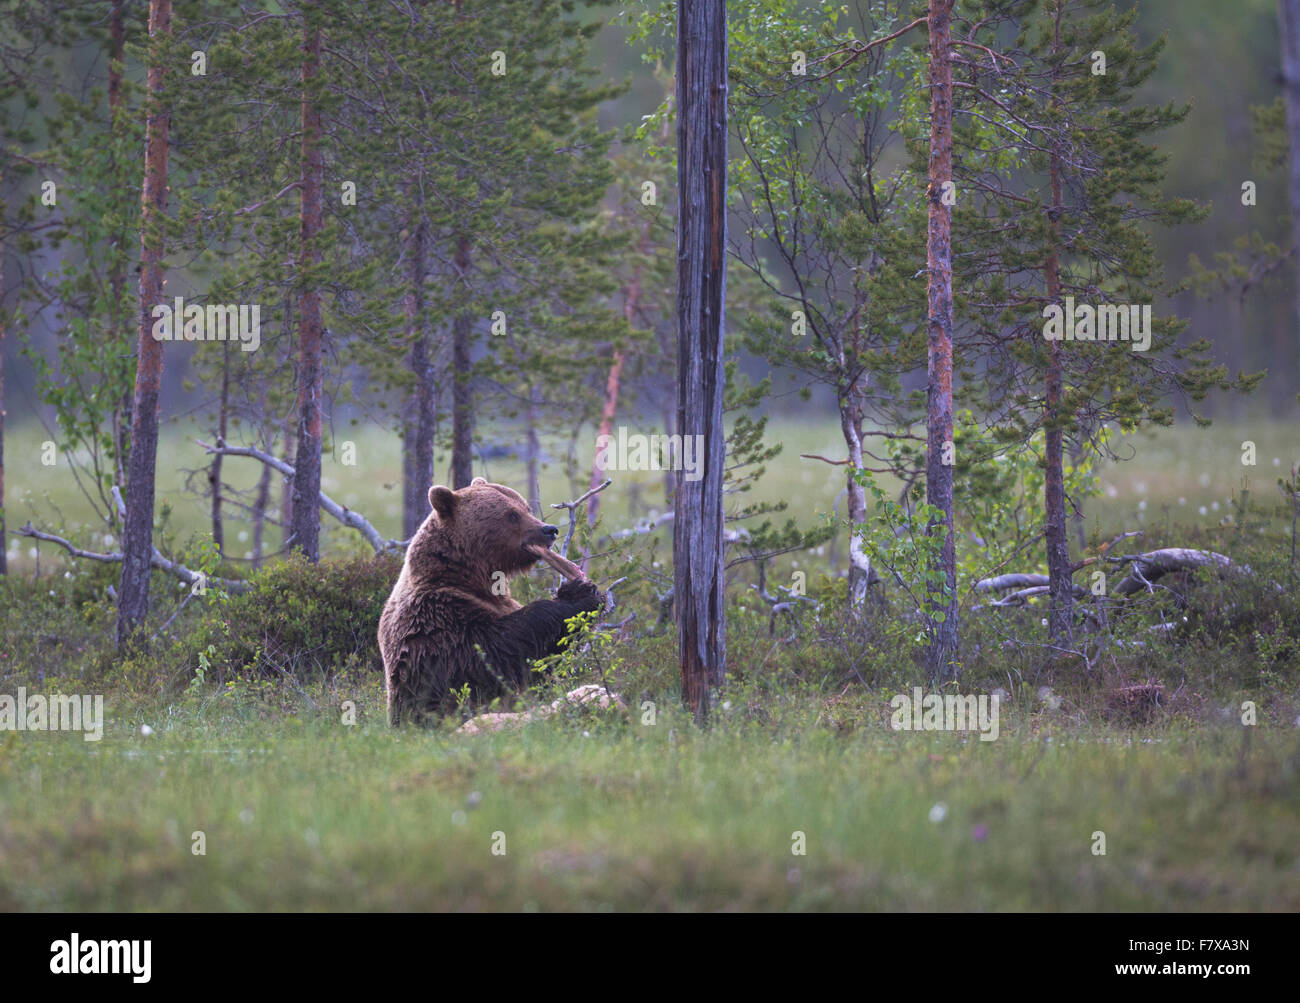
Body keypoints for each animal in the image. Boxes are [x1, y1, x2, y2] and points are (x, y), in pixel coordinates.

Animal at [378, 476, 605, 726]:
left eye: (526, 507)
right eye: (512, 515)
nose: (549, 530)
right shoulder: (438, 618)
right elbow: (494, 648)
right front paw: (580, 593)